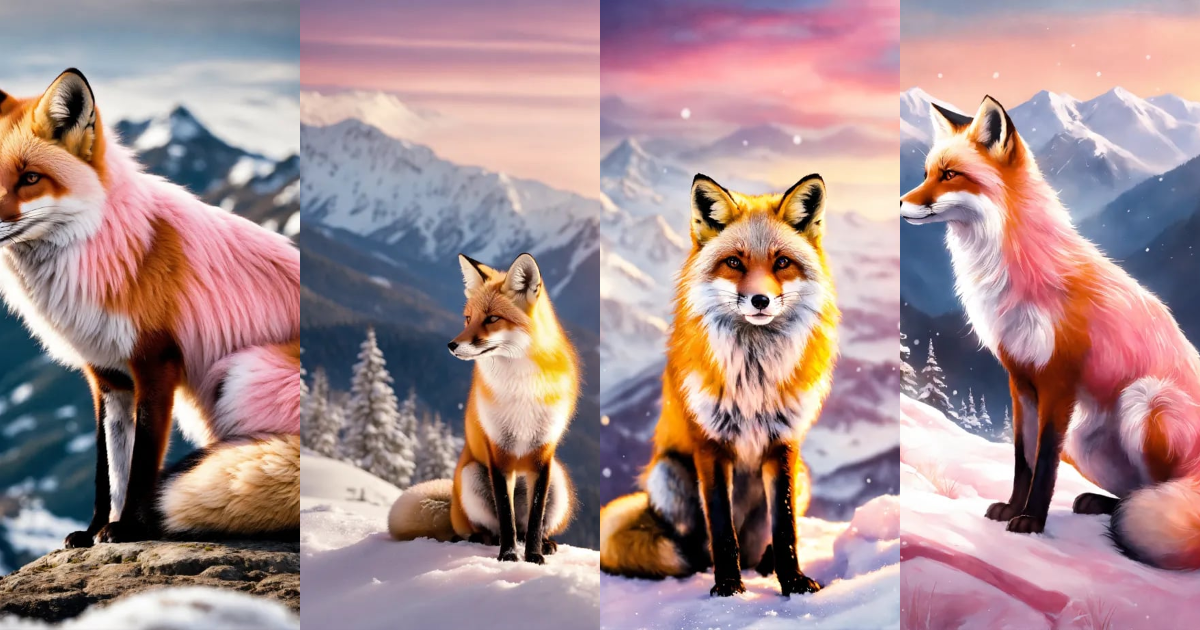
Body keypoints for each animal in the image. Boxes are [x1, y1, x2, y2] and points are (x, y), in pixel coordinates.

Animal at [0, 69, 300, 547]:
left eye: (30, 178)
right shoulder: (107, 376)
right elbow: (108, 471)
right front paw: (94, 530)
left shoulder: (156, 365)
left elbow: (141, 466)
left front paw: (129, 529)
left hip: (241, 375)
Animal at [388, 252, 577, 564]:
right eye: (468, 318)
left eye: (492, 318)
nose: (451, 345)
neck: (522, 391)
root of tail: (453, 511)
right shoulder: (498, 452)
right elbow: (505, 515)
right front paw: (509, 556)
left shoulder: (543, 454)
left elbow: (535, 519)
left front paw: (533, 556)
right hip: (472, 476)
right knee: (485, 530)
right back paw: (488, 541)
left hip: (558, 480)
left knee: (527, 526)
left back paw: (543, 543)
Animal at [599, 173, 839, 597]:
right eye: (734, 262)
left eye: (781, 262)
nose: (760, 300)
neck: (754, 379)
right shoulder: (710, 446)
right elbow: (722, 529)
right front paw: (728, 585)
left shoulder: (783, 444)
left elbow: (786, 526)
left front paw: (792, 581)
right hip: (668, 474)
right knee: (699, 548)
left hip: (803, 474)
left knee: (763, 543)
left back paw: (764, 565)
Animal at [901, 95, 1200, 570]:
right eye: (928, 172)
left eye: (949, 175)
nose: (900, 203)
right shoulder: (1019, 378)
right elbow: (1022, 458)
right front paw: (1011, 509)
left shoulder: (1060, 382)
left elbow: (1042, 463)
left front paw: (1031, 521)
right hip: (1083, 440)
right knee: (1135, 494)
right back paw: (1099, 504)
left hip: (1145, 401)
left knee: (1158, 494)